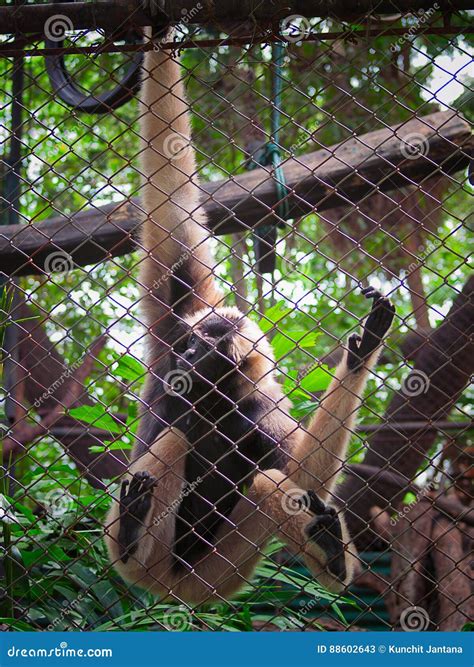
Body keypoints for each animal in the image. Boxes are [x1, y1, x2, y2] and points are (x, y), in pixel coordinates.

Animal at [105, 34, 395, 605]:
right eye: (189, 342)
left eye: (205, 346)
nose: (186, 355)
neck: (213, 400)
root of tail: (177, 593)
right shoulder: (175, 318)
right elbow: (172, 203)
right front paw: (161, 31)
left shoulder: (262, 409)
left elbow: (303, 476)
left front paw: (362, 351)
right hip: (155, 565)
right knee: (174, 442)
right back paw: (129, 531)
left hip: (225, 571)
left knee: (267, 486)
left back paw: (332, 556)